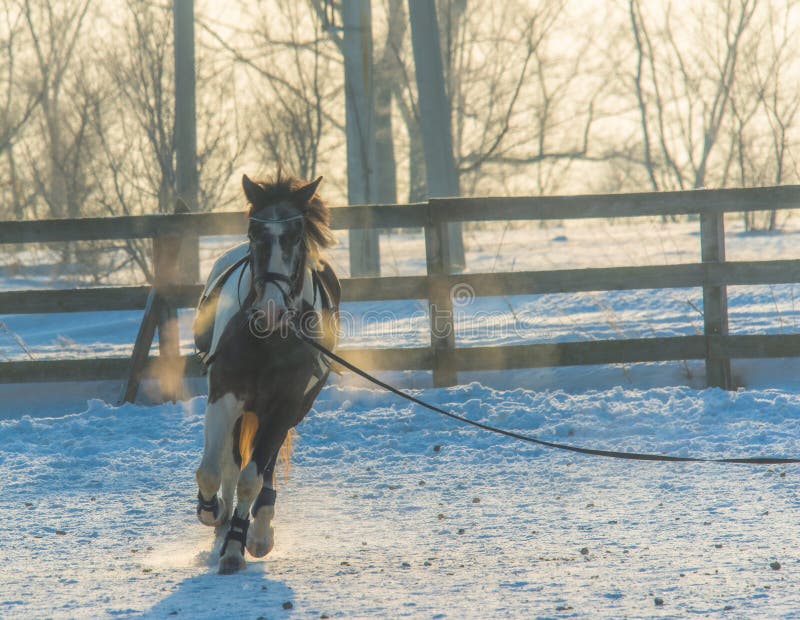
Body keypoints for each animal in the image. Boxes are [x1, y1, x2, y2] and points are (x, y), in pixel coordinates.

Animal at [192, 172, 340, 574]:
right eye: (254, 233)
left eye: (296, 235)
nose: (271, 311)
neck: (270, 339)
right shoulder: (224, 394)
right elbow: (212, 471)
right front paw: (213, 513)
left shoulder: (285, 406)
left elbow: (252, 480)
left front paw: (237, 545)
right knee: (230, 463)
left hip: (291, 411)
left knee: (263, 471)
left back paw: (256, 532)